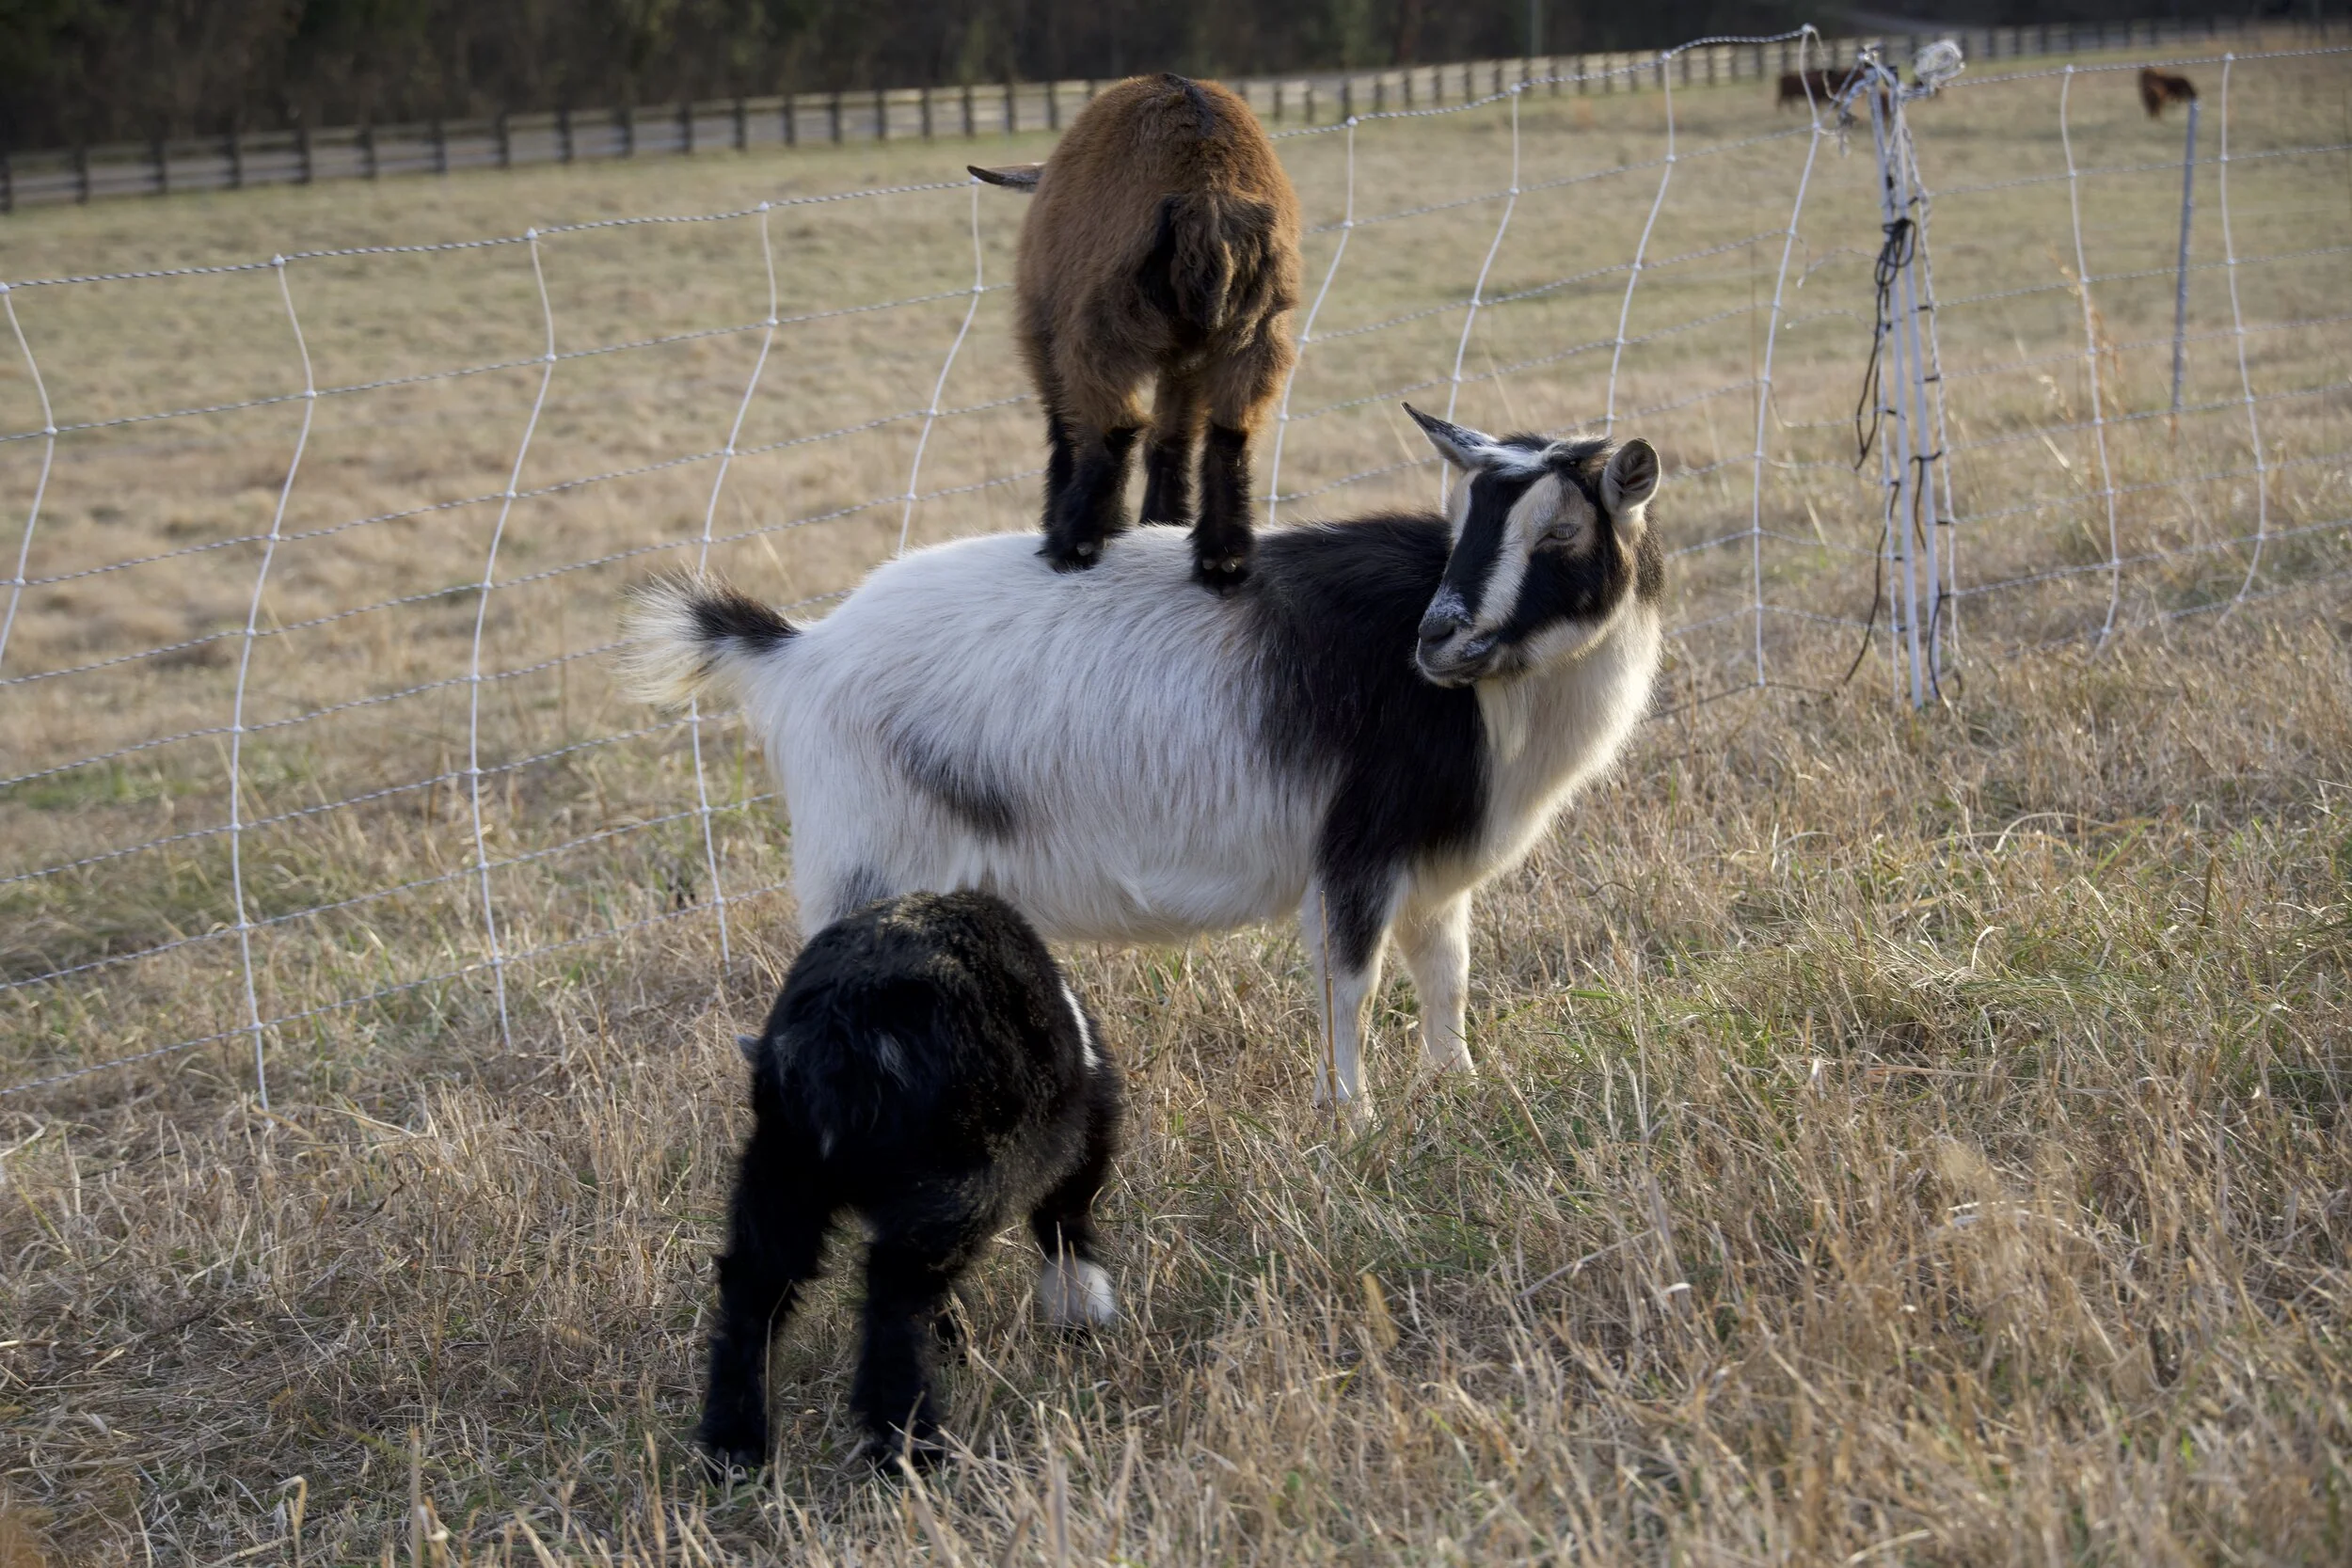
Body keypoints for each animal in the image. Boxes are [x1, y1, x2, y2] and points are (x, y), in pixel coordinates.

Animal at [623, 405, 1664, 1117]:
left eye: (1559, 532)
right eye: (1464, 523)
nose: (1440, 639)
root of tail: (797, 652)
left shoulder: (1434, 867)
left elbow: (1446, 972)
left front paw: (1460, 1085)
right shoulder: (1357, 848)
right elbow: (1351, 984)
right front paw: (1352, 1117)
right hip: (866, 864)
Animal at [694, 890, 1123, 1475]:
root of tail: (835, 1035)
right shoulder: (1076, 1123)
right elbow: (1066, 1214)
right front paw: (1082, 1315)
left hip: (781, 1166)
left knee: (755, 1283)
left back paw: (734, 1444)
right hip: (954, 1175)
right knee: (894, 1294)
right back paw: (909, 1444)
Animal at [970, 72, 1301, 592]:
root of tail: (1208, 198)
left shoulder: (1041, 327)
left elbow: (1064, 425)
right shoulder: (1187, 357)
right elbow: (1174, 433)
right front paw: (1162, 520)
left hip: (1104, 322)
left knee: (1115, 425)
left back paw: (1075, 542)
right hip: (1257, 331)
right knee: (1231, 428)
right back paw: (1222, 559)